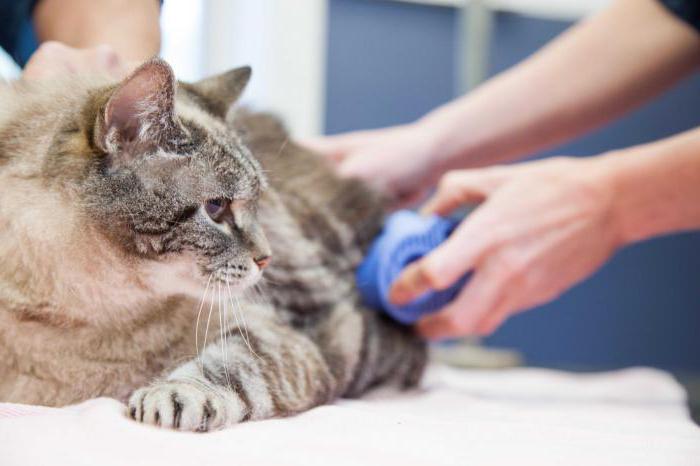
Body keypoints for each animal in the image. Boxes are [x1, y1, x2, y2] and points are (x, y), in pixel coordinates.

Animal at [0, 59, 426, 434]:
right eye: (217, 207)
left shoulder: (291, 334)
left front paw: (174, 394)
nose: (266, 258)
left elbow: (231, 368)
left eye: (257, 202)